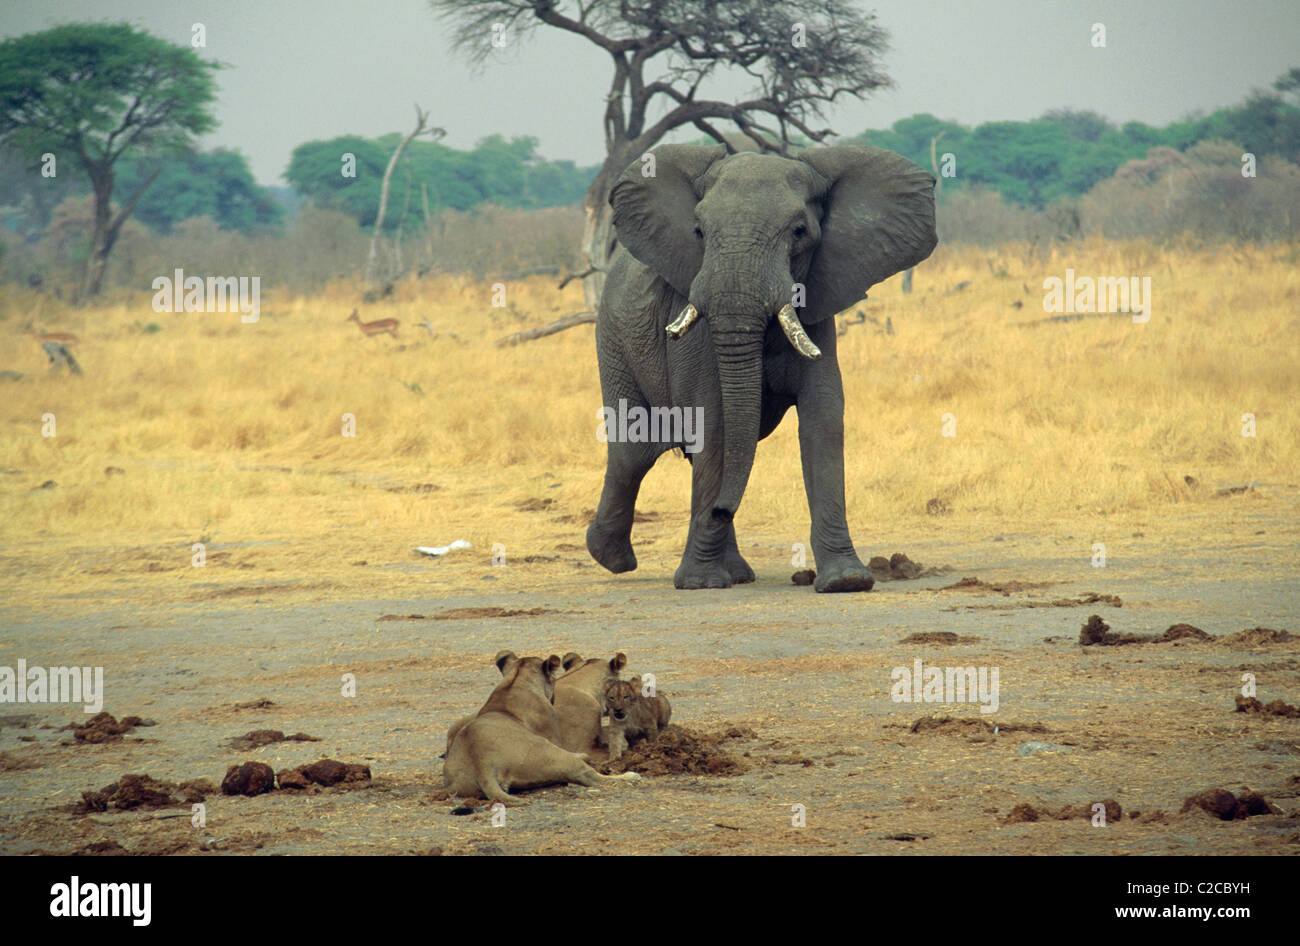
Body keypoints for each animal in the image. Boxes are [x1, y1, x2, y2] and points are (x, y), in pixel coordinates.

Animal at [585, 144, 937, 592]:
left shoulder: (819, 305)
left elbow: (823, 419)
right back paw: (612, 558)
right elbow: (712, 421)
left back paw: (734, 571)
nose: (721, 511)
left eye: (799, 232)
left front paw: (846, 581)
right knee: (635, 449)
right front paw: (700, 583)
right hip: (613, 338)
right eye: (698, 231)